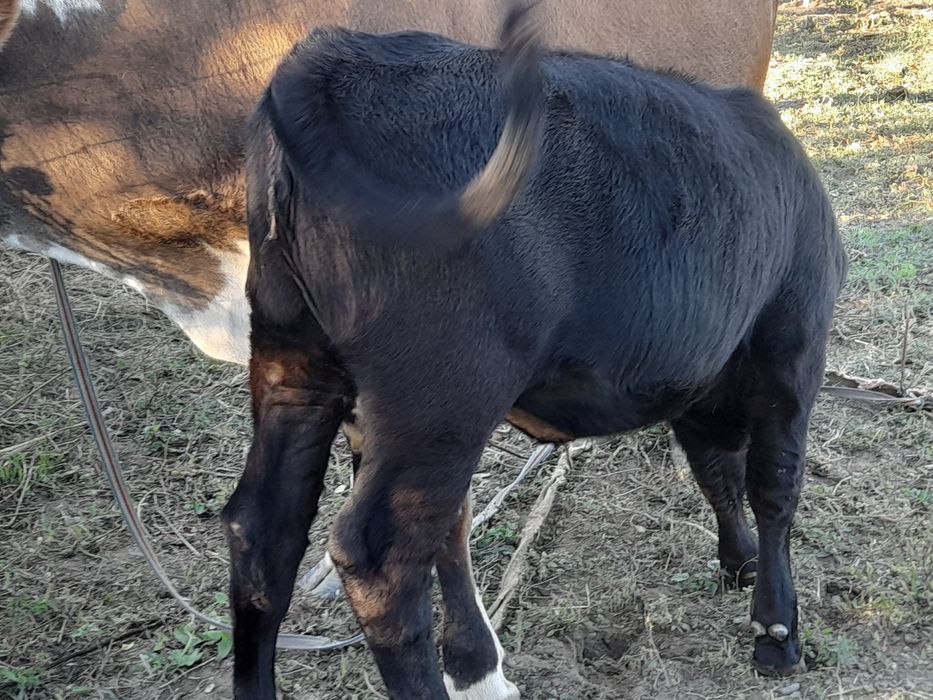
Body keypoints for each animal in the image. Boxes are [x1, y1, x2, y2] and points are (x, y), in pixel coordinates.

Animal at [235, 3, 846, 698]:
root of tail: (331, 57)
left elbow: (718, 473)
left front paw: (738, 561)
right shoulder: (793, 346)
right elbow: (775, 484)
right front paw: (777, 629)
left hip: (295, 367)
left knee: (264, 535)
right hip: (442, 395)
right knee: (381, 560)